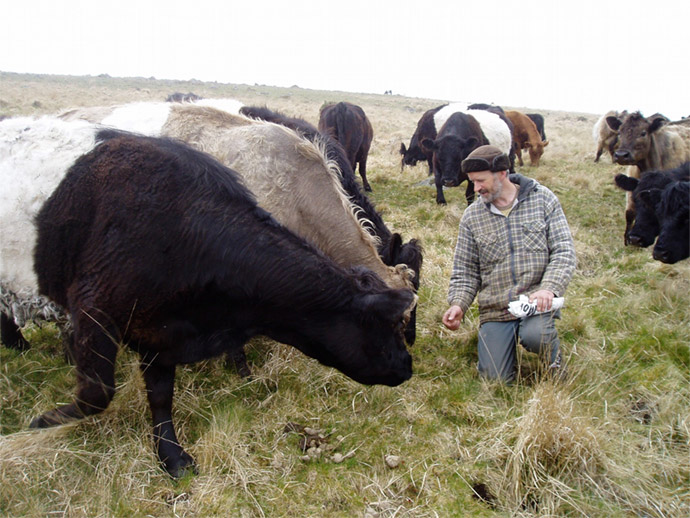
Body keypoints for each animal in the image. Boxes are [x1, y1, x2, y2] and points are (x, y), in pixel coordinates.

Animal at [28, 131, 415, 478]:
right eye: (393, 323)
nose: (409, 365)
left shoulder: (159, 332)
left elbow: (160, 397)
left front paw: (172, 456)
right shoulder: (96, 309)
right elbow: (98, 391)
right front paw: (45, 422)